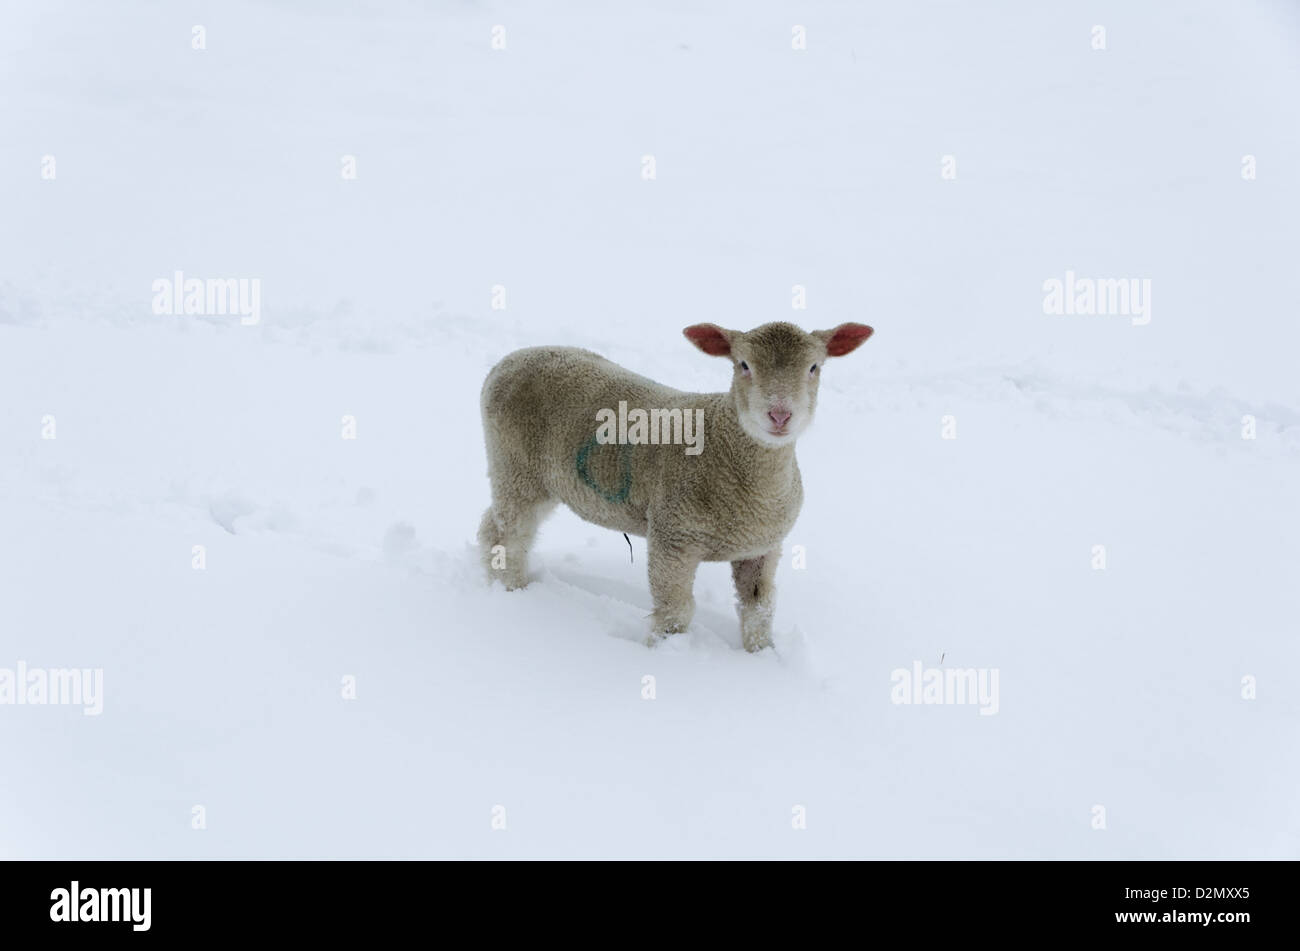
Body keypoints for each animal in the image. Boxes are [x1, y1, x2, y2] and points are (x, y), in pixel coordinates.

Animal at [477, 321, 874, 651]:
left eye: (814, 367)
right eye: (743, 365)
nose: (779, 415)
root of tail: (508, 361)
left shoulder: (762, 548)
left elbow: (759, 610)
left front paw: (760, 656)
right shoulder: (672, 536)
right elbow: (676, 612)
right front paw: (666, 653)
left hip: (539, 480)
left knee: (496, 526)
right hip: (516, 468)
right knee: (505, 535)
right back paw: (513, 590)